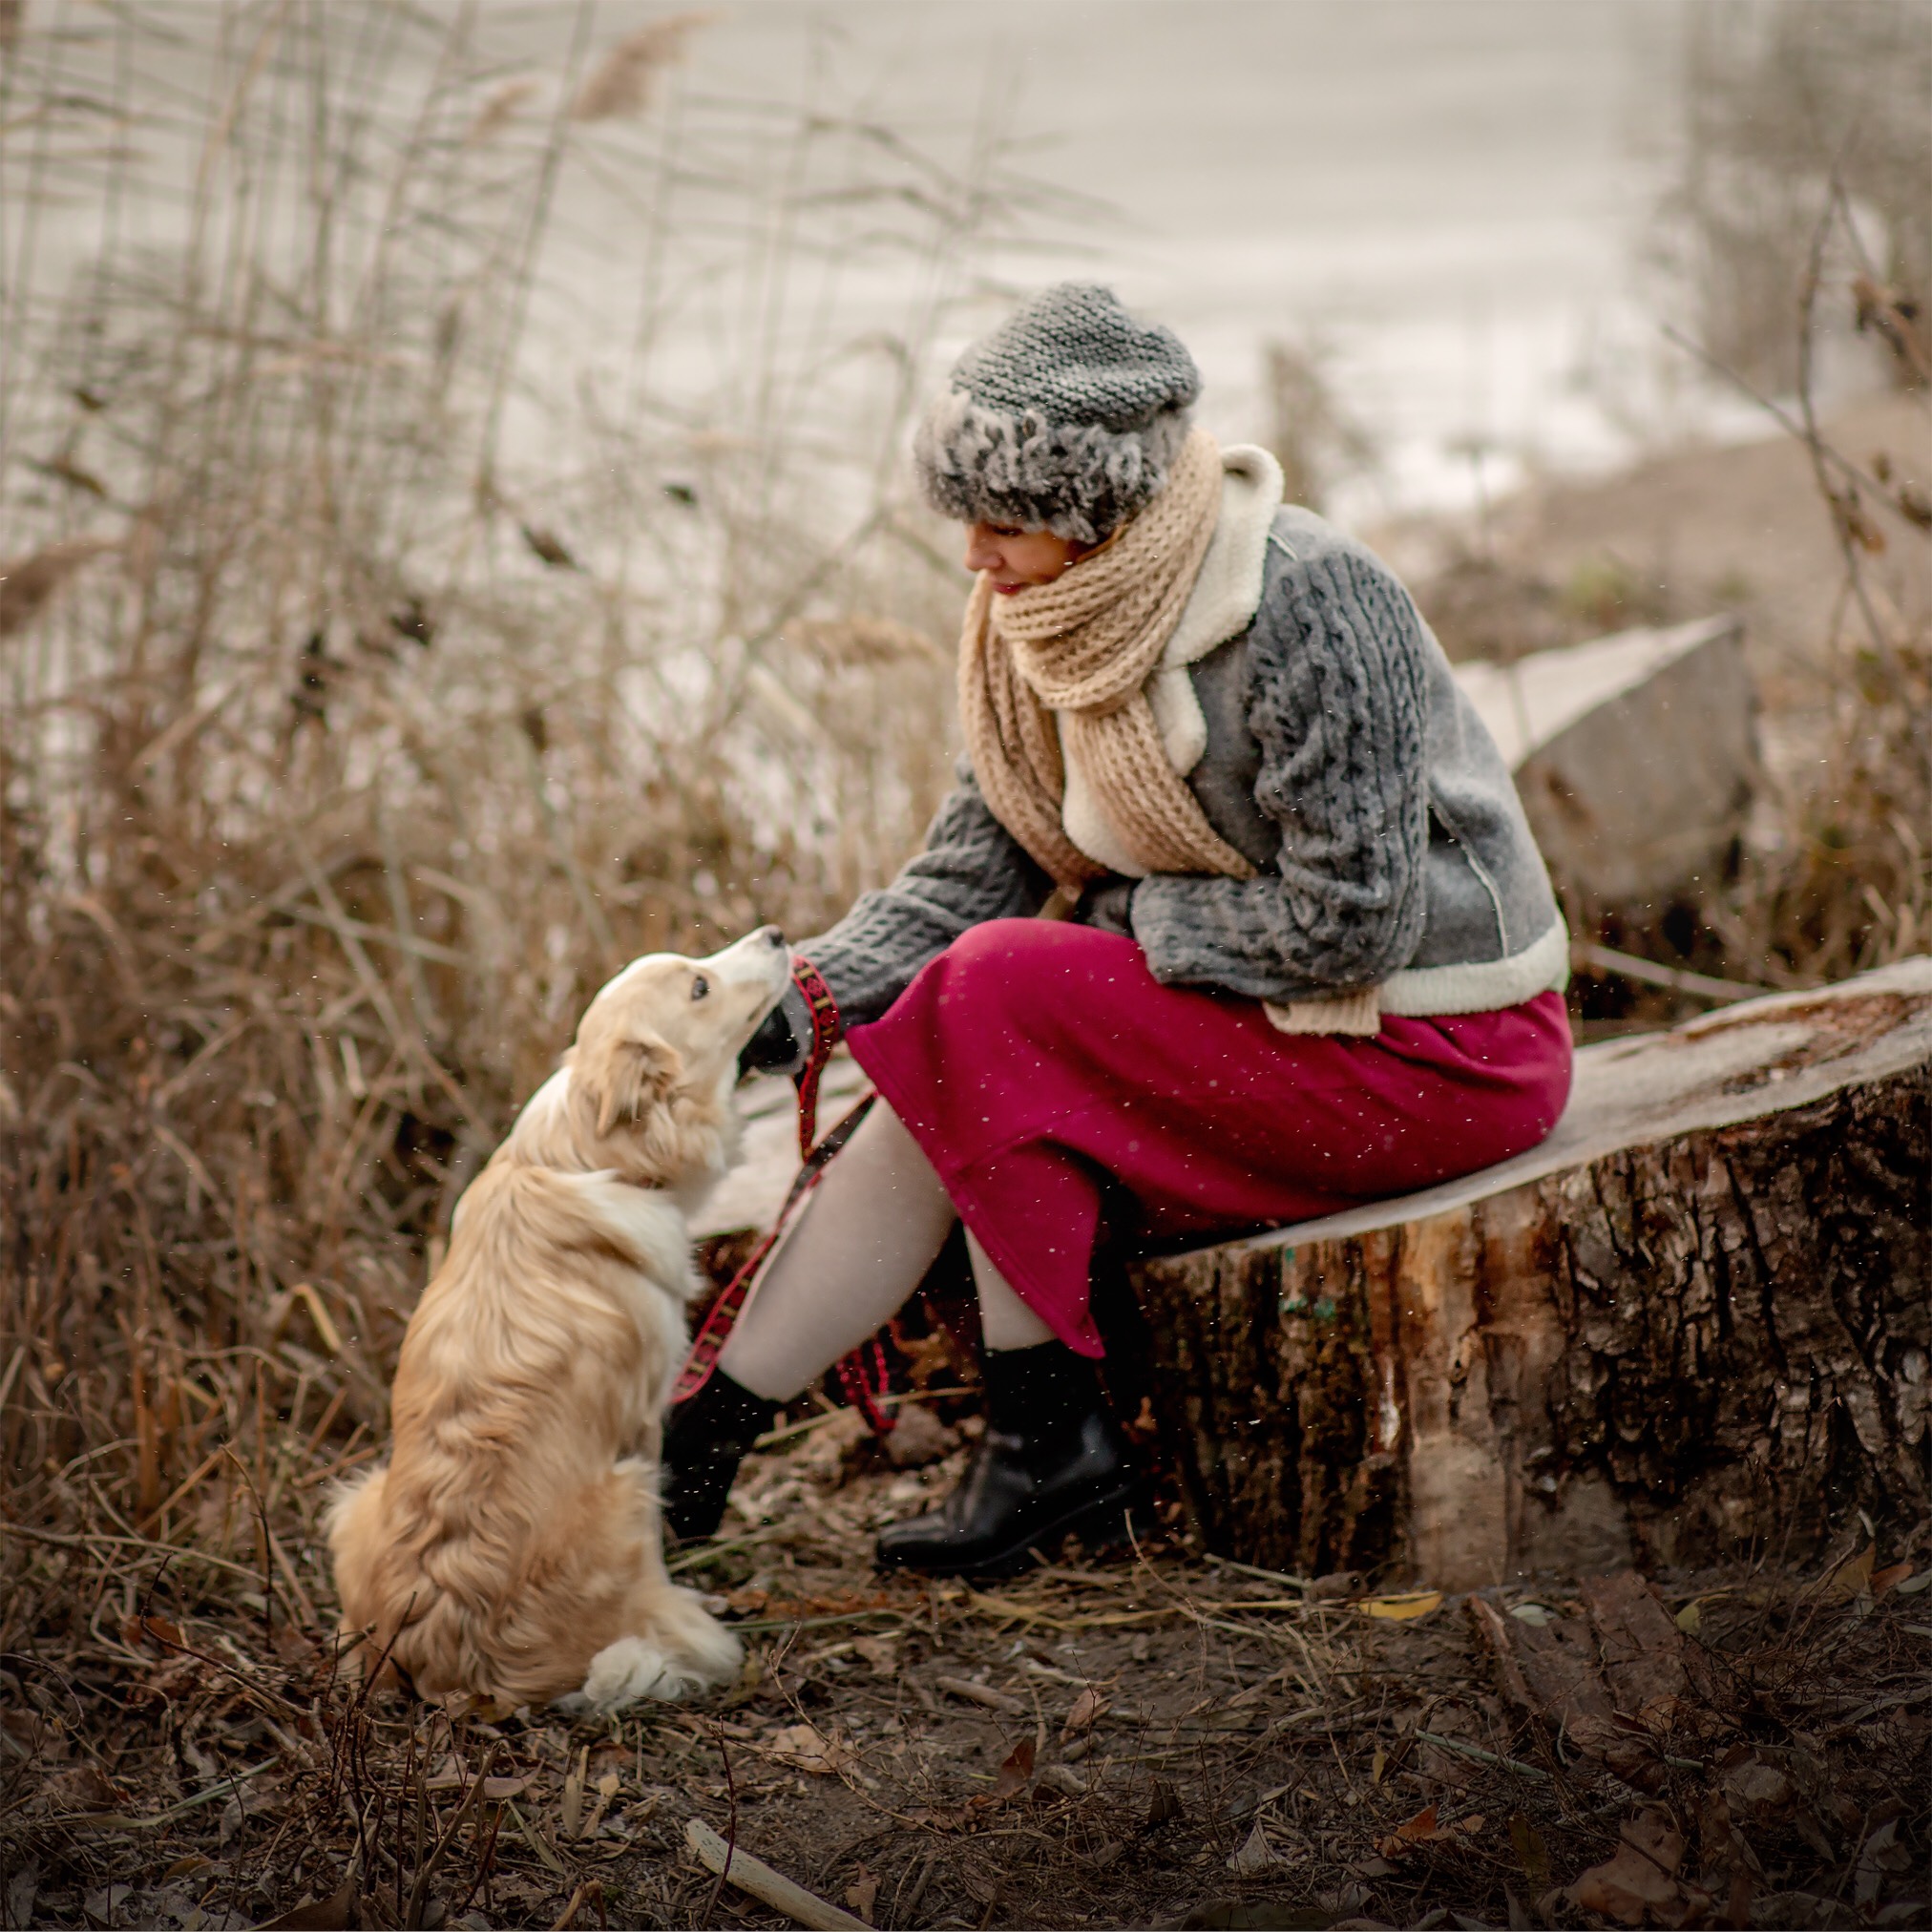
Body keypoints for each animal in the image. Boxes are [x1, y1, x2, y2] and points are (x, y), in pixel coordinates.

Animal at [328, 927, 788, 1715]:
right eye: (699, 986)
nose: (779, 934)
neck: (584, 1150)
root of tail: (459, 1679)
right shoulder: (644, 1415)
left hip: (359, 1502)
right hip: (625, 1491)